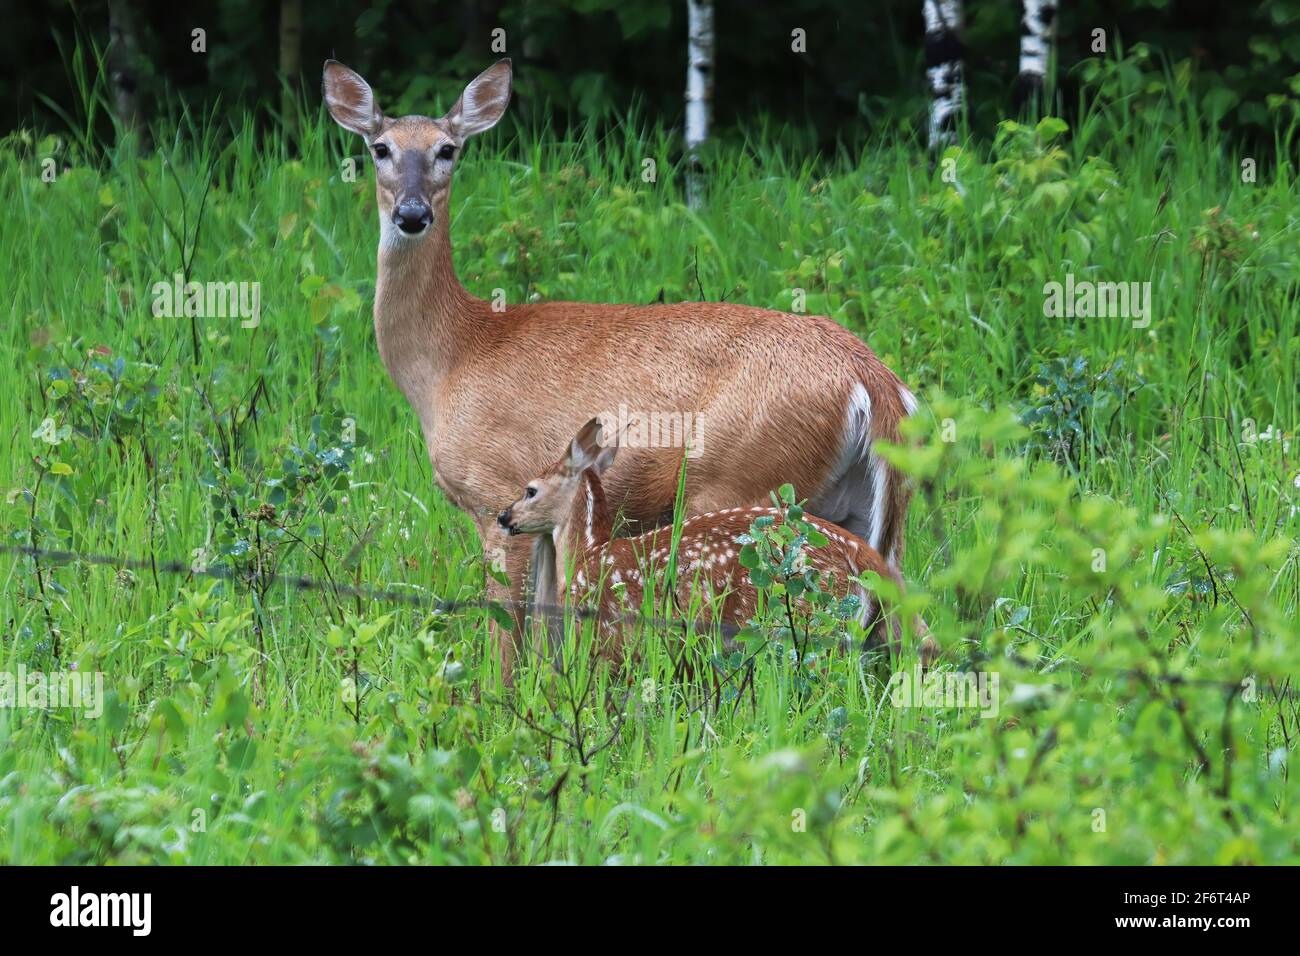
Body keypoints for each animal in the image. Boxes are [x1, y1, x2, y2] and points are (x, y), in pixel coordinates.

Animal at [496, 418, 935, 665]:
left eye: (530, 490)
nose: (504, 517)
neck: (588, 552)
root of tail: (866, 556)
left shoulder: (610, 631)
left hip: (813, 618)